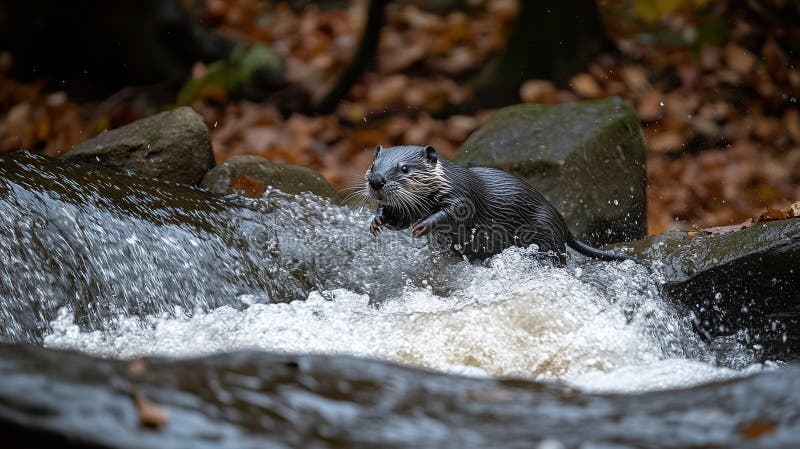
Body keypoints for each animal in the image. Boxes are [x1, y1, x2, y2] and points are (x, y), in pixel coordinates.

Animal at [365, 144, 636, 265]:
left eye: (404, 168)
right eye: (372, 165)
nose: (376, 180)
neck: (446, 181)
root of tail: (562, 221)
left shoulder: (463, 196)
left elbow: (454, 213)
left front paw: (424, 225)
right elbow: (398, 219)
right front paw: (377, 220)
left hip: (546, 231)